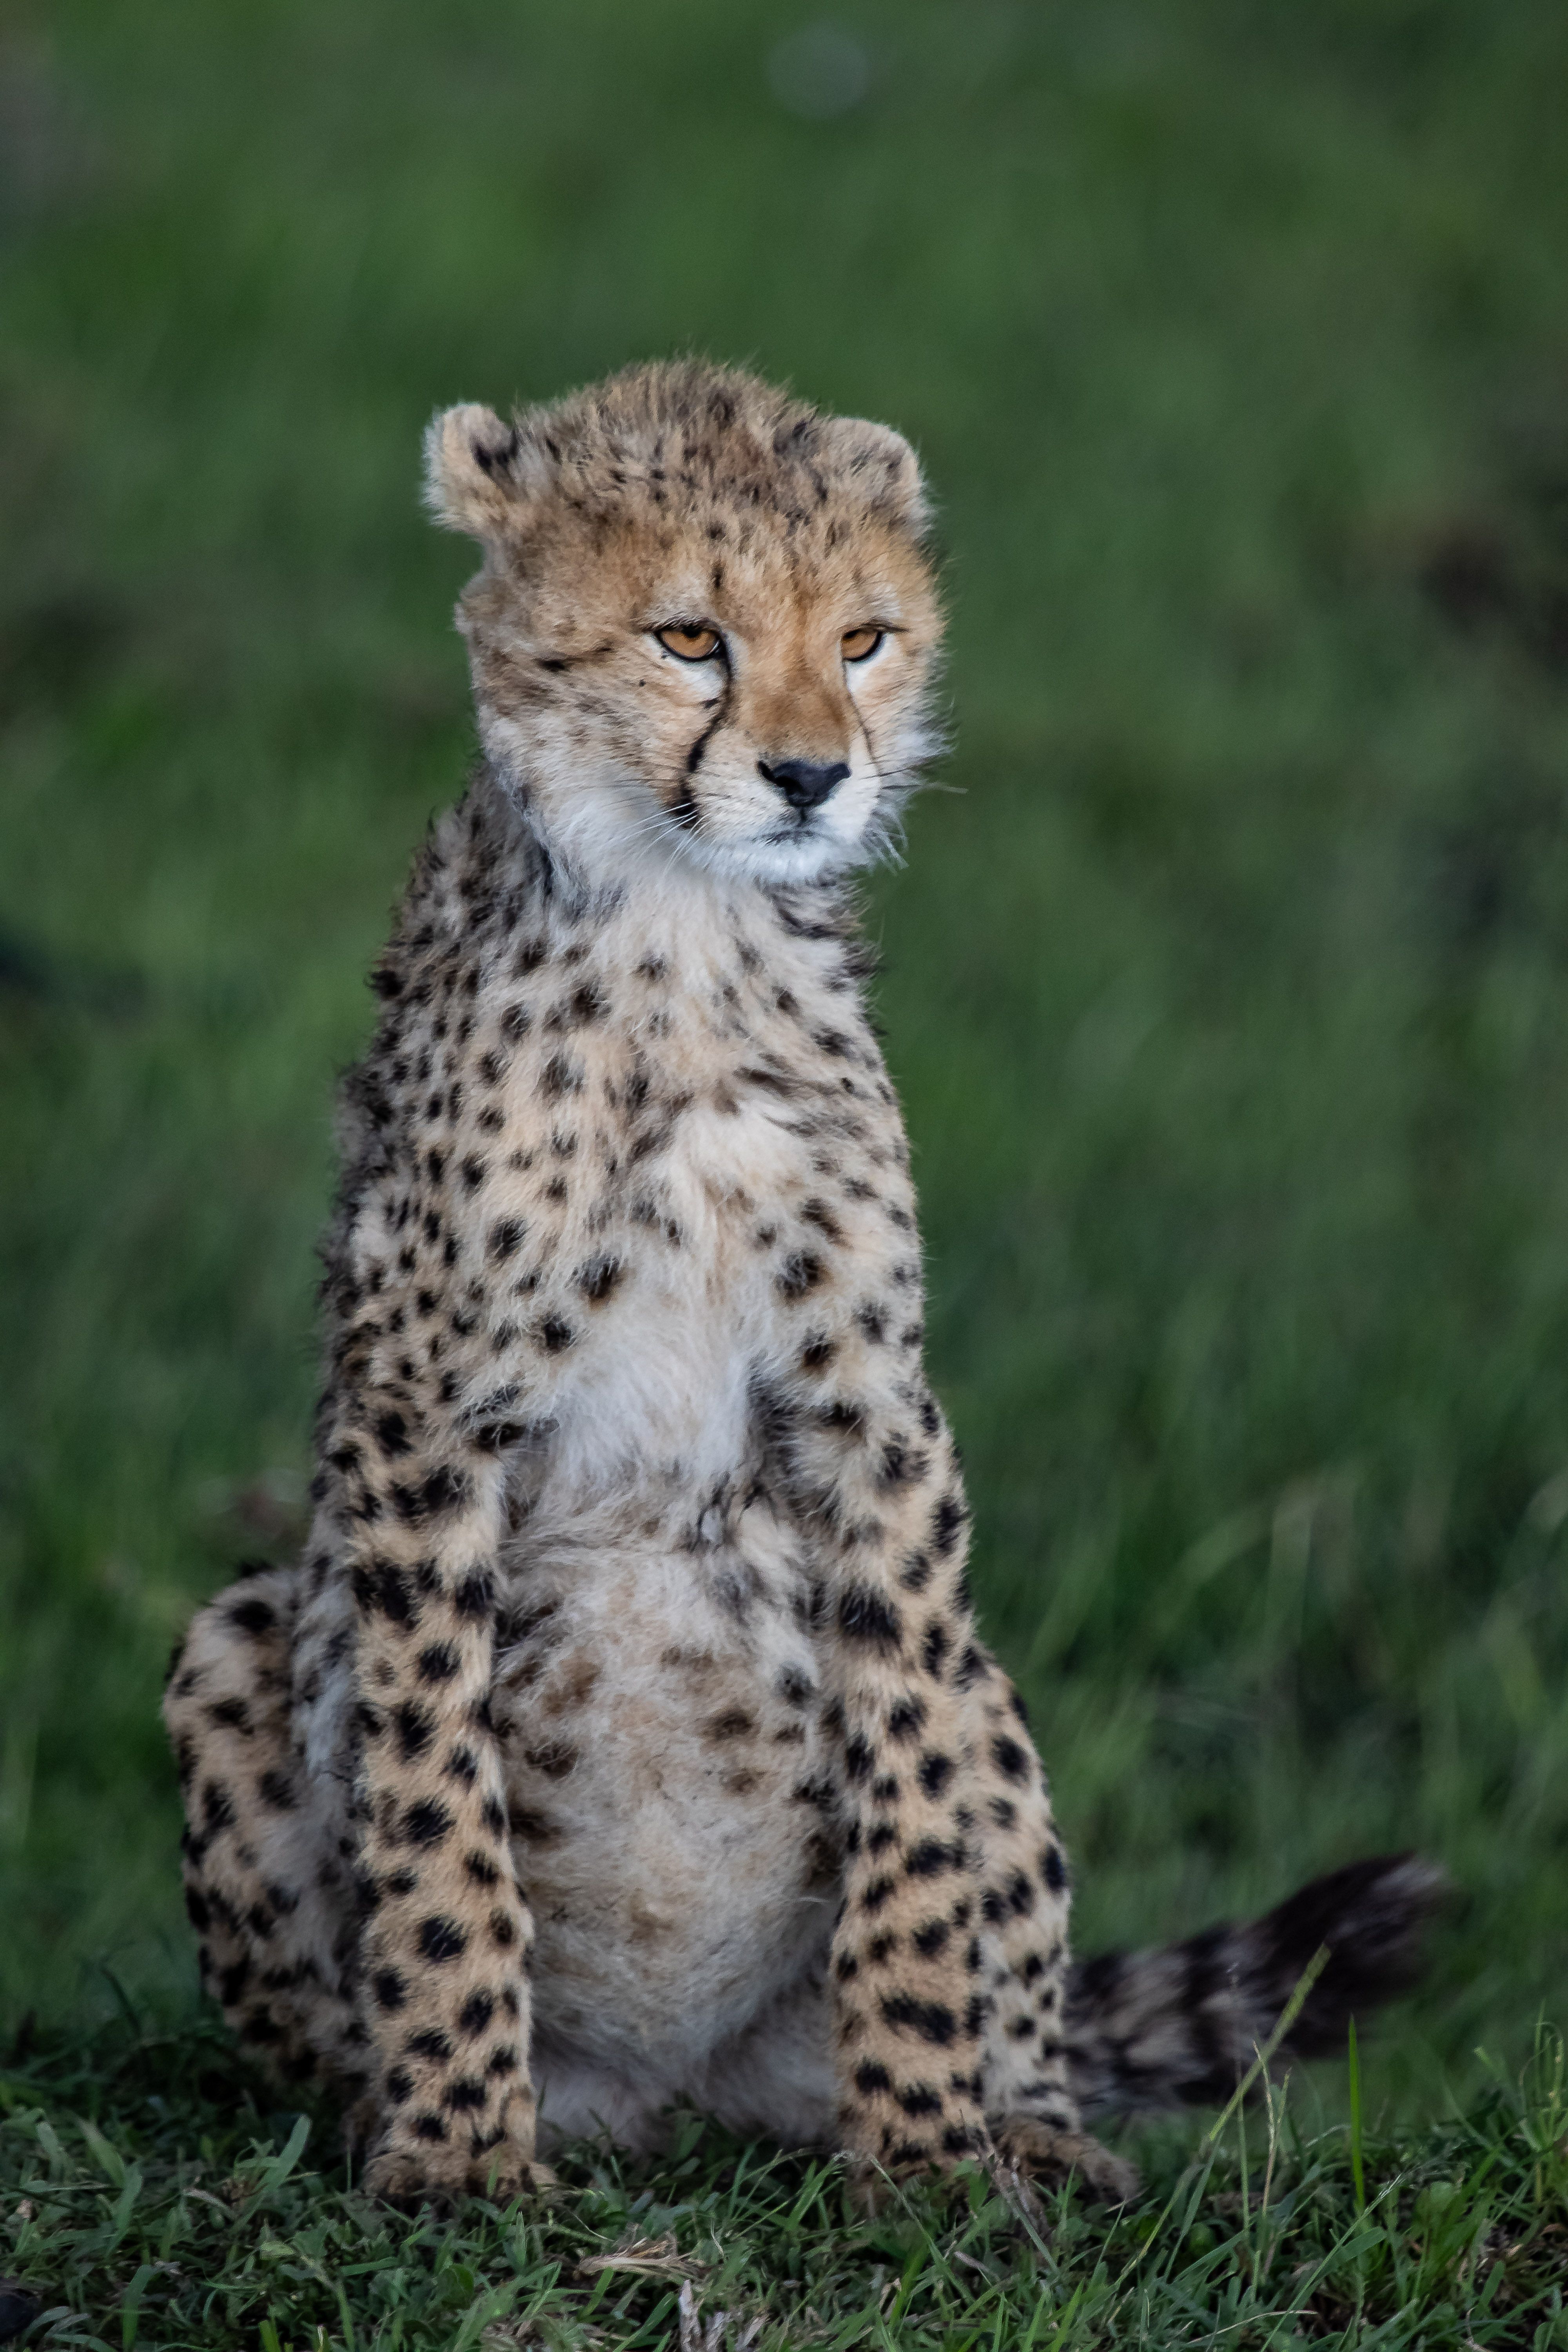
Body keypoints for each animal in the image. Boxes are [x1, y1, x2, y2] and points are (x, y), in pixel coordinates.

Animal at [163, 359, 1441, 2207]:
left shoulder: (866, 1401)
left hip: (984, 1706)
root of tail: (674, 2092)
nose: (807, 776)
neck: (685, 938)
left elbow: (909, 1774)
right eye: (689, 635)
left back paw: (1028, 2124)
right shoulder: (424, 1416)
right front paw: (459, 2145)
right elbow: (428, 1795)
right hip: (228, 1635)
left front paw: (919, 2146)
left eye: (860, 639)